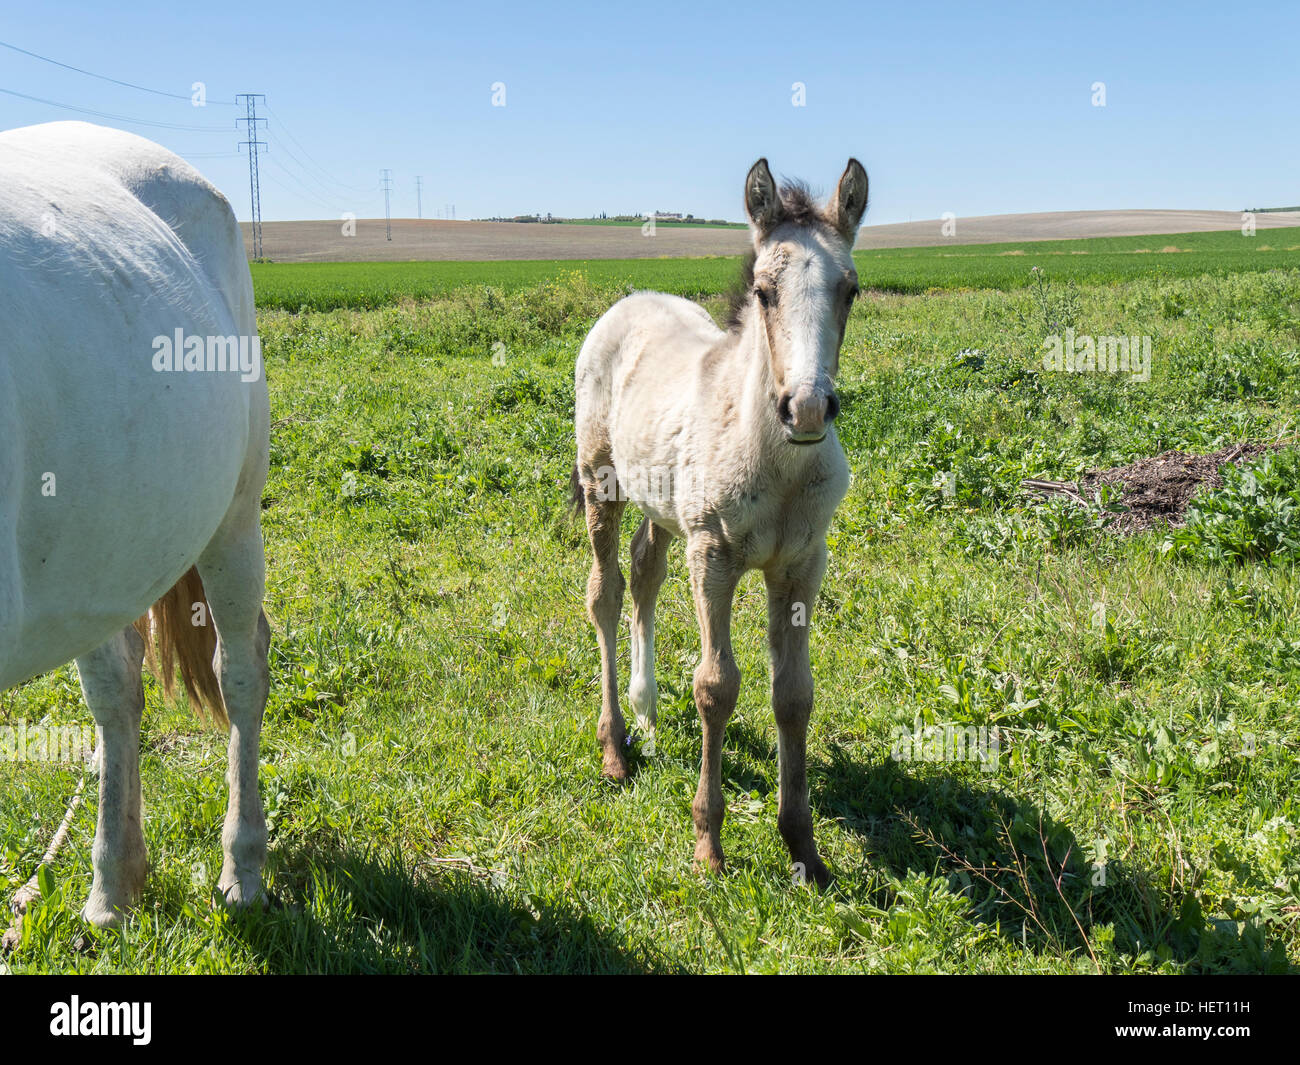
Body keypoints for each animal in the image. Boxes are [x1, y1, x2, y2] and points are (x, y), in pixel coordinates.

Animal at [0, 121, 271, 929]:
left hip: (234, 522)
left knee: (240, 673)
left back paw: (243, 866)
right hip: (102, 565)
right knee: (116, 696)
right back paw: (112, 883)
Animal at [572, 157, 867, 886]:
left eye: (850, 290)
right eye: (763, 291)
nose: (807, 408)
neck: (776, 462)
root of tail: (629, 301)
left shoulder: (802, 564)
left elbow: (794, 694)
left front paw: (804, 849)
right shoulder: (713, 555)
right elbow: (716, 686)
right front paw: (709, 843)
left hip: (661, 507)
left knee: (645, 574)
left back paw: (647, 716)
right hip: (601, 485)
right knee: (606, 594)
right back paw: (615, 747)